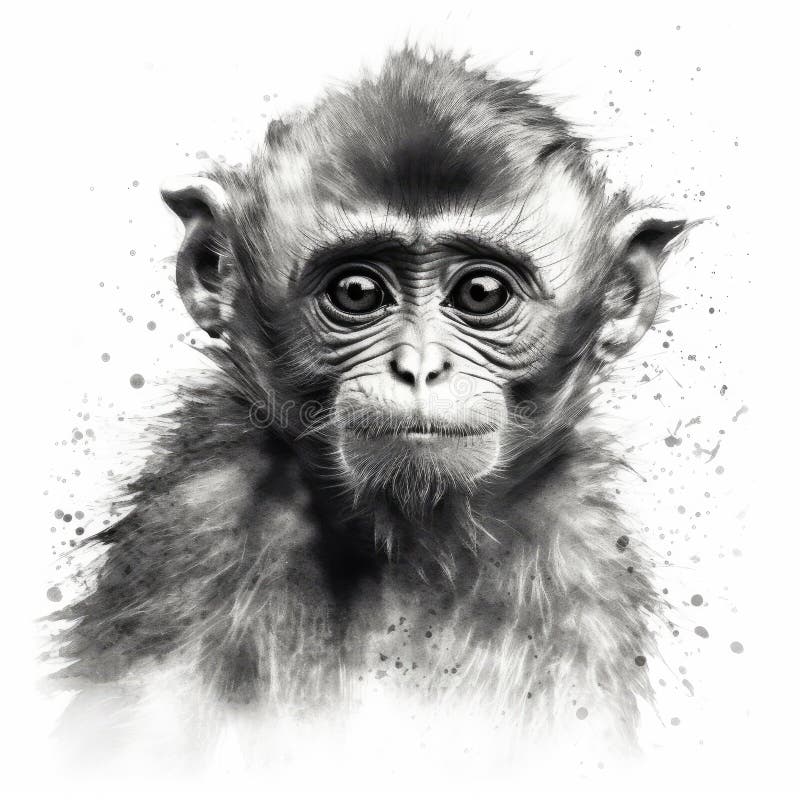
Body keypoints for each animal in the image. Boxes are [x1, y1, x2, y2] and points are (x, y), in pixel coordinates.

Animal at [52, 49, 688, 750]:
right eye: (356, 291)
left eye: (482, 293)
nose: (418, 369)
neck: (409, 542)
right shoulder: (193, 530)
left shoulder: (580, 569)